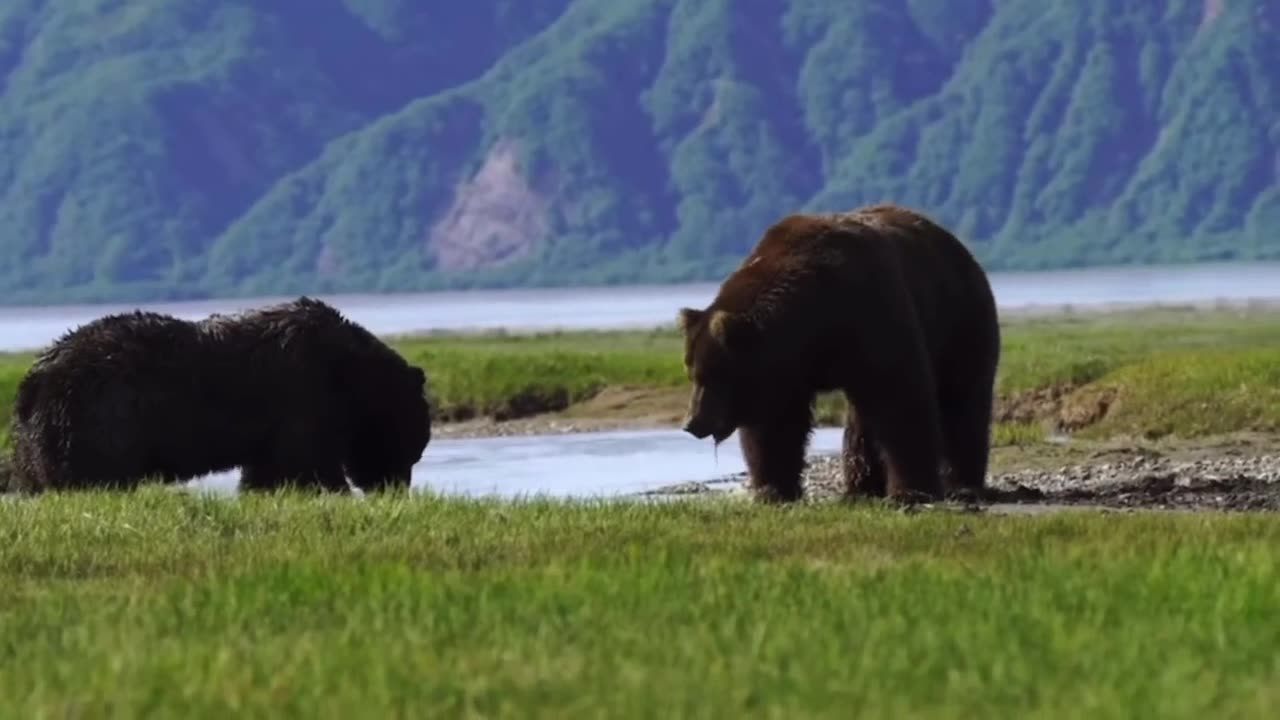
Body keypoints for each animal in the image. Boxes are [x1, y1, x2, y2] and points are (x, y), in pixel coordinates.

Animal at [7, 296, 432, 495]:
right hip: (99, 415)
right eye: (412, 445)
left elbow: (268, 471)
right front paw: (336, 490)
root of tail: (32, 381)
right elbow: (307, 462)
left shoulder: (276, 423)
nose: (394, 489)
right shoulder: (304, 396)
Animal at [676, 203, 1001, 504]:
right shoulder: (784, 370)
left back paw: (963, 484)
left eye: (711, 375)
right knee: (862, 419)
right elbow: (775, 424)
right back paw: (861, 487)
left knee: (962, 398)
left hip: (960, 317)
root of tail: (956, 244)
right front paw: (773, 490)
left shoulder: (871, 312)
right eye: (692, 372)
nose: (692, 423)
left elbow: (901, 398)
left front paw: (911, 490)